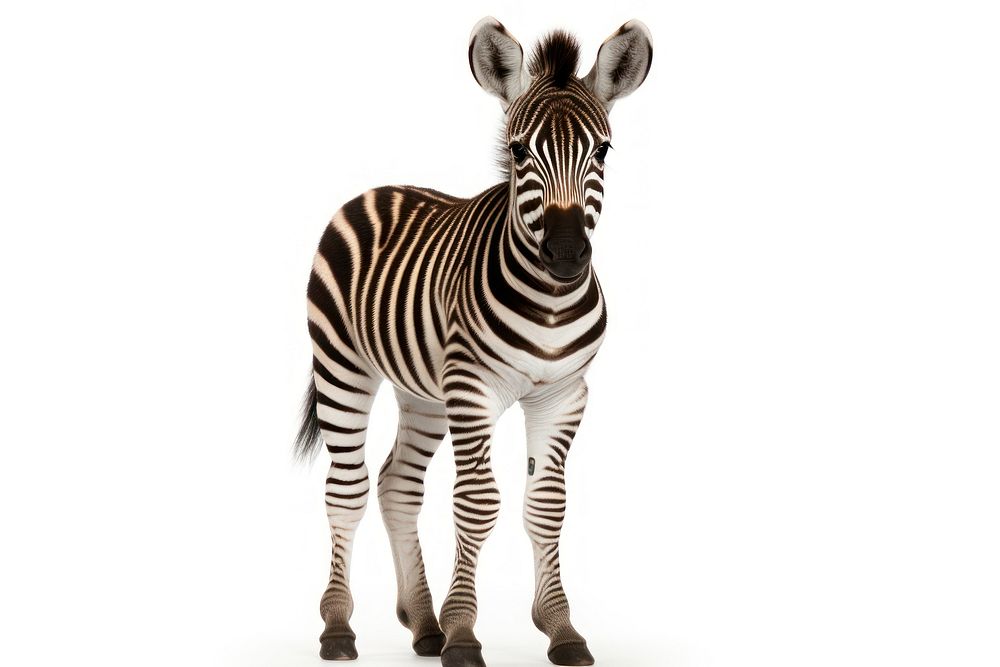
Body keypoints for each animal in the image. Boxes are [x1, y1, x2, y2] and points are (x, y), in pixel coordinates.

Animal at [294, 17, 652, 667]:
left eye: (603, 151)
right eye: (518, 151)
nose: (567, 256)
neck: (550, 306)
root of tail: (376, 189)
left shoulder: (563, 394)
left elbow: (547, 505)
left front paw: (560, 628)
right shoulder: (473, 389)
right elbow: (478, 502)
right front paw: (464, 633)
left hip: (424, 394)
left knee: (398, 486)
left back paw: (422, 623)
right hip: (342, 365)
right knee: (347, 490)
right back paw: (338, 626)